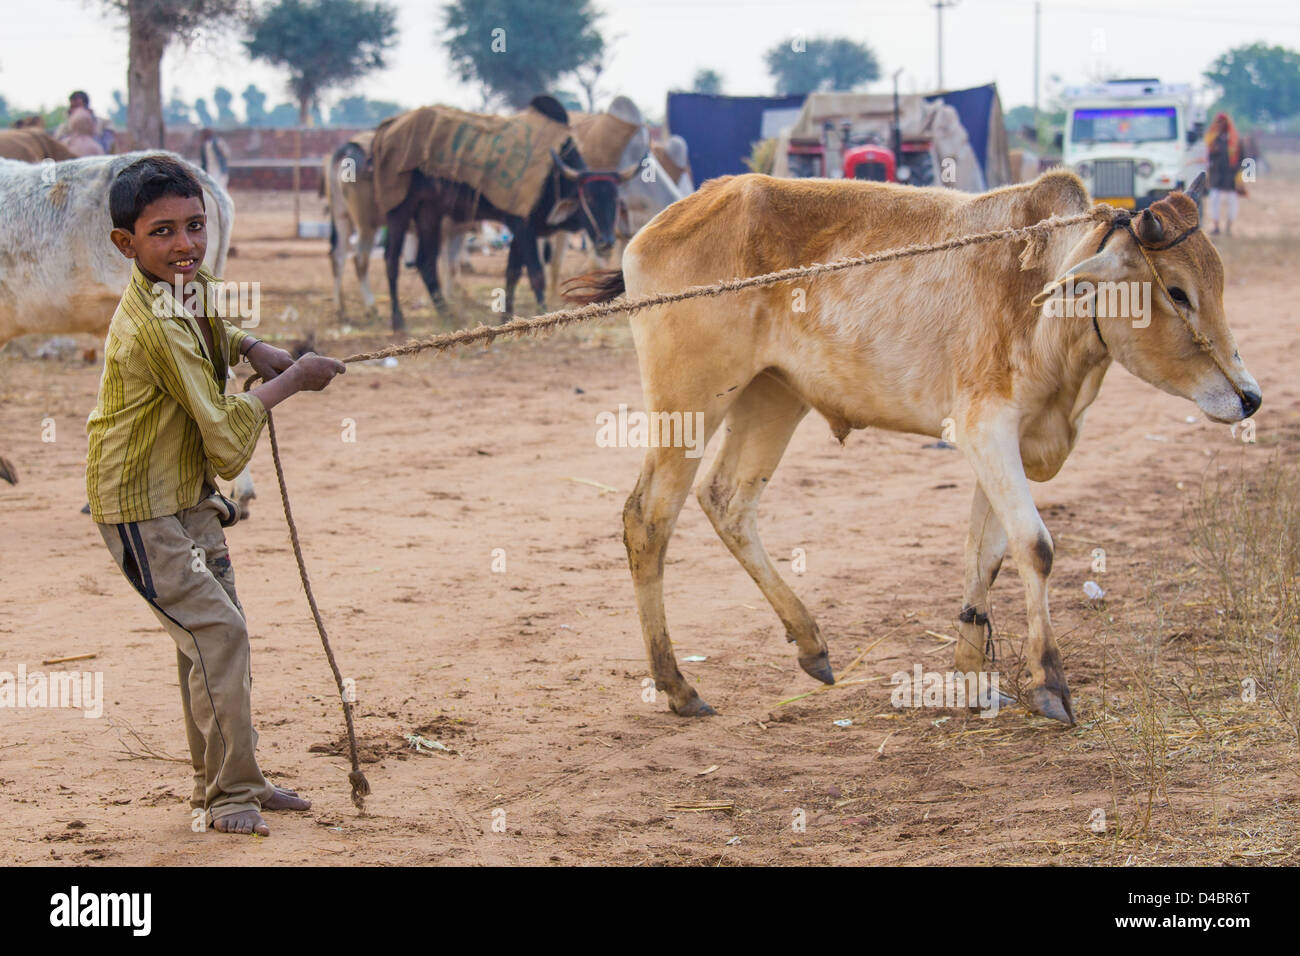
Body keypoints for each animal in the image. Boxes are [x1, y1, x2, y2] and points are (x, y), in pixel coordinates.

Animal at [377, 96, 634, 329]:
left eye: (615, 199)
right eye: (588, 198)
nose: (606, 242)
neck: (554, 174)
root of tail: (390, 127)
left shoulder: (523, 230)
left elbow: (512, 273)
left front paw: (506, 317)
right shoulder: (522, 225)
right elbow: (536, 274)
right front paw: (542, 311)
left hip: (429, 211)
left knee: (426, 262)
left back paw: (447, 315)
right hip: (399, 208)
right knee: (391, 260)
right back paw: (398, 320)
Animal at [564, 169, 1259, 725]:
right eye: (1177, 291)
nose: (1249, 398)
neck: (1043, 292)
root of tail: (665, 221)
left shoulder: (1001, 441)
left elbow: (987, 556)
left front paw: (974, 680)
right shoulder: (984, 427)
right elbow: (1035, 547)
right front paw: (1051, 684)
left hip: (771, 396)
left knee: (727, 500)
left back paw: (811, 644)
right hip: (688, 403)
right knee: (648, 518)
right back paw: (677, 685)